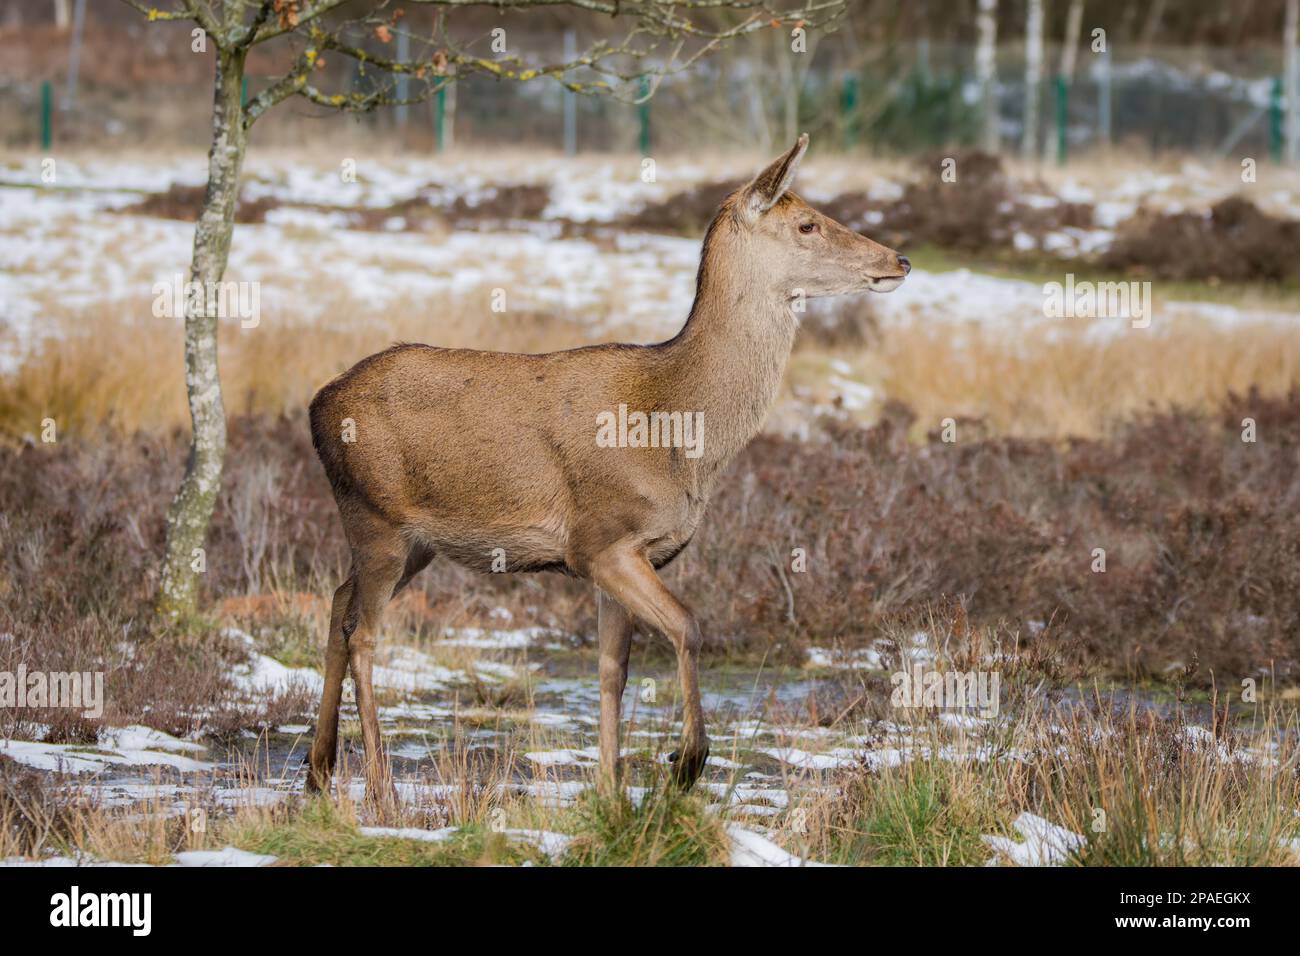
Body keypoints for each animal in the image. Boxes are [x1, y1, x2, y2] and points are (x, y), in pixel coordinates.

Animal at [304, 134, 910, 810]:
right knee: (364, 634)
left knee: (337, 604)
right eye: (807, 223)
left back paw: (318, 769)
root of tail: (317, 405)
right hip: (376, 514)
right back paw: (380, 786)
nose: (900, 259)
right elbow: (689, 625)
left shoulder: (633, 555)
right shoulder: (601, 540)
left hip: (416, 541)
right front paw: (686, 763)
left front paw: (610, 789)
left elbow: (612, 669)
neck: (677, 431)